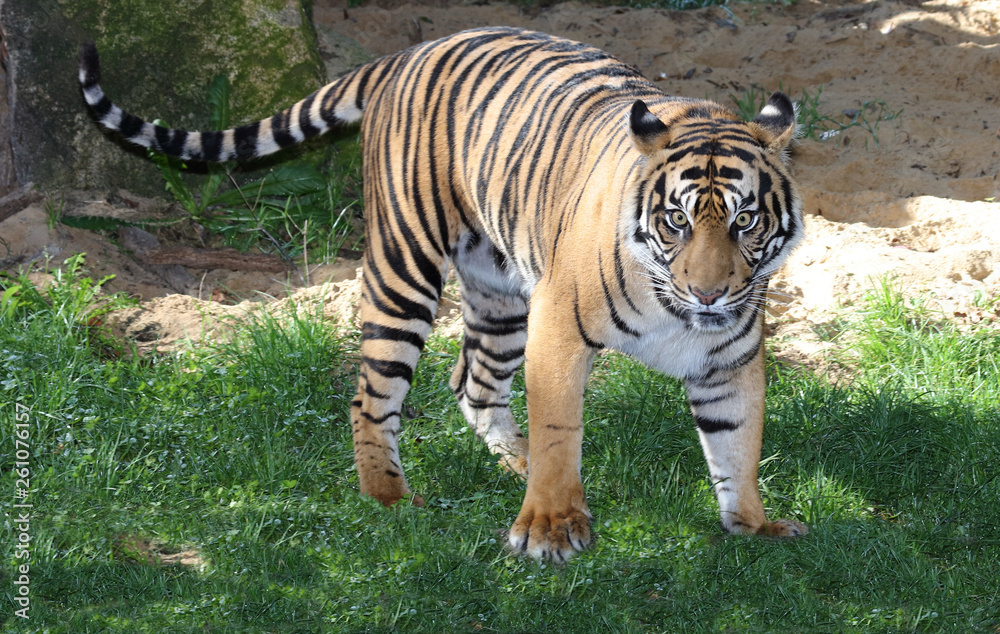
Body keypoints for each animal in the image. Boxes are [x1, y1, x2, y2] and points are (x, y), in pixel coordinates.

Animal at [79, 26, 808, 562]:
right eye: (676, 220)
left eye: (744, 220)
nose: (709, 294)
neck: (677, 309)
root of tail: (407, 53)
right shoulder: (561, 331)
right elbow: (560, 429)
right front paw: (549, 528)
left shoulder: (729, 362)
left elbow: (738, 444)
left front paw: (753, 524)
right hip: (404, 271)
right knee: (371, 395)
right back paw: (391, 497)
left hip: (501, 292)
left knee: (472, 380)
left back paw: (512, 459)